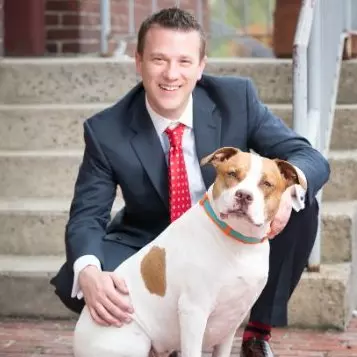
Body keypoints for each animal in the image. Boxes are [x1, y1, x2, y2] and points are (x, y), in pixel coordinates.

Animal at [73, 146, 304, 356]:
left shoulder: (232, 319)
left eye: (266, 184)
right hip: (132, 341)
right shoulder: (194, 311)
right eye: (232, 174)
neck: (239, 241)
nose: (244, 195)